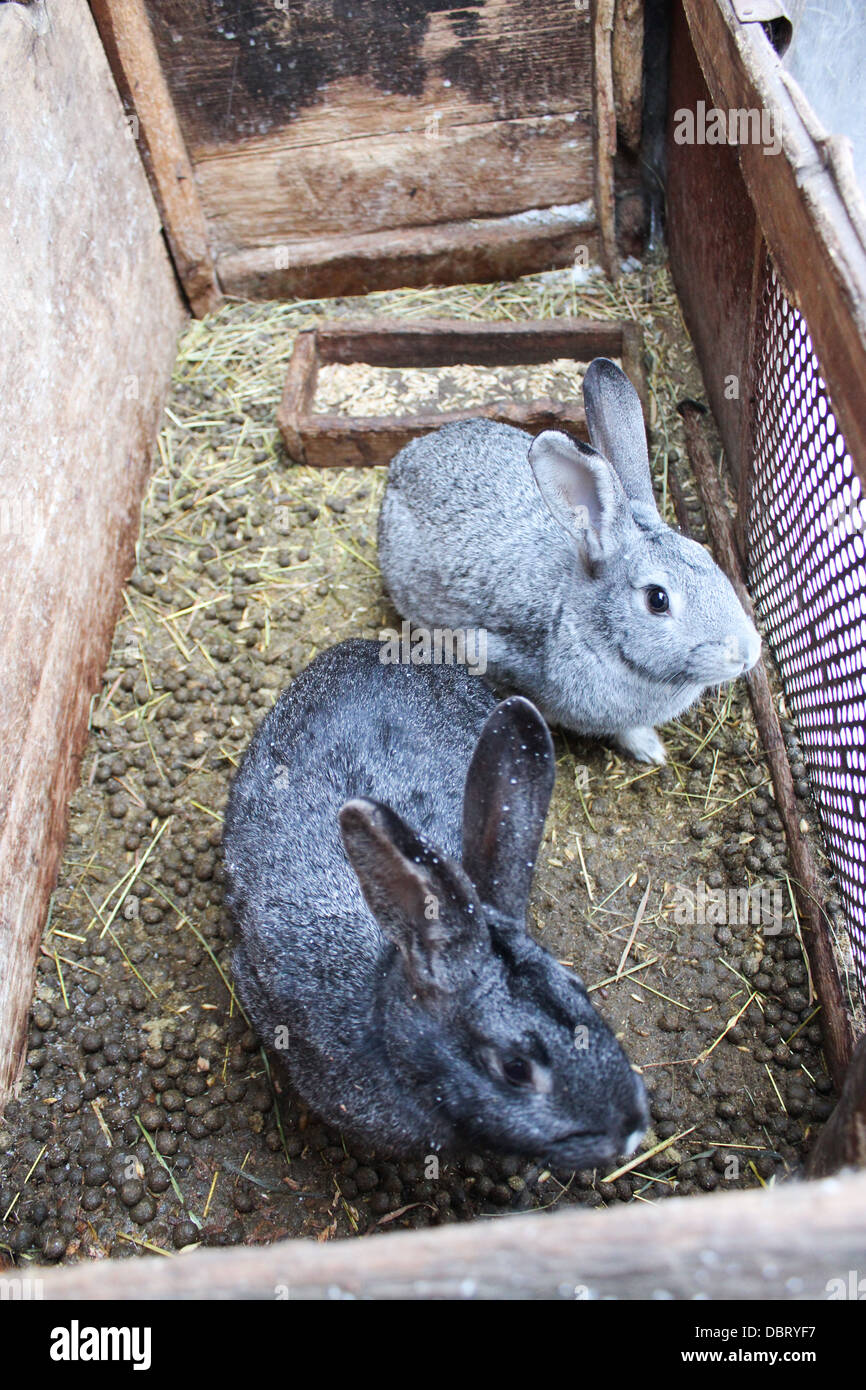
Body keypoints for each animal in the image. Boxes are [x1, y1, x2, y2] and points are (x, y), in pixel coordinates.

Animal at [377, 357, 761, 764]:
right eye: (657, 599)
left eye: (706, 555)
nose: (747, 655)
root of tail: (403, 460)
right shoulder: (484, 650)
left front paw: (652, 751)